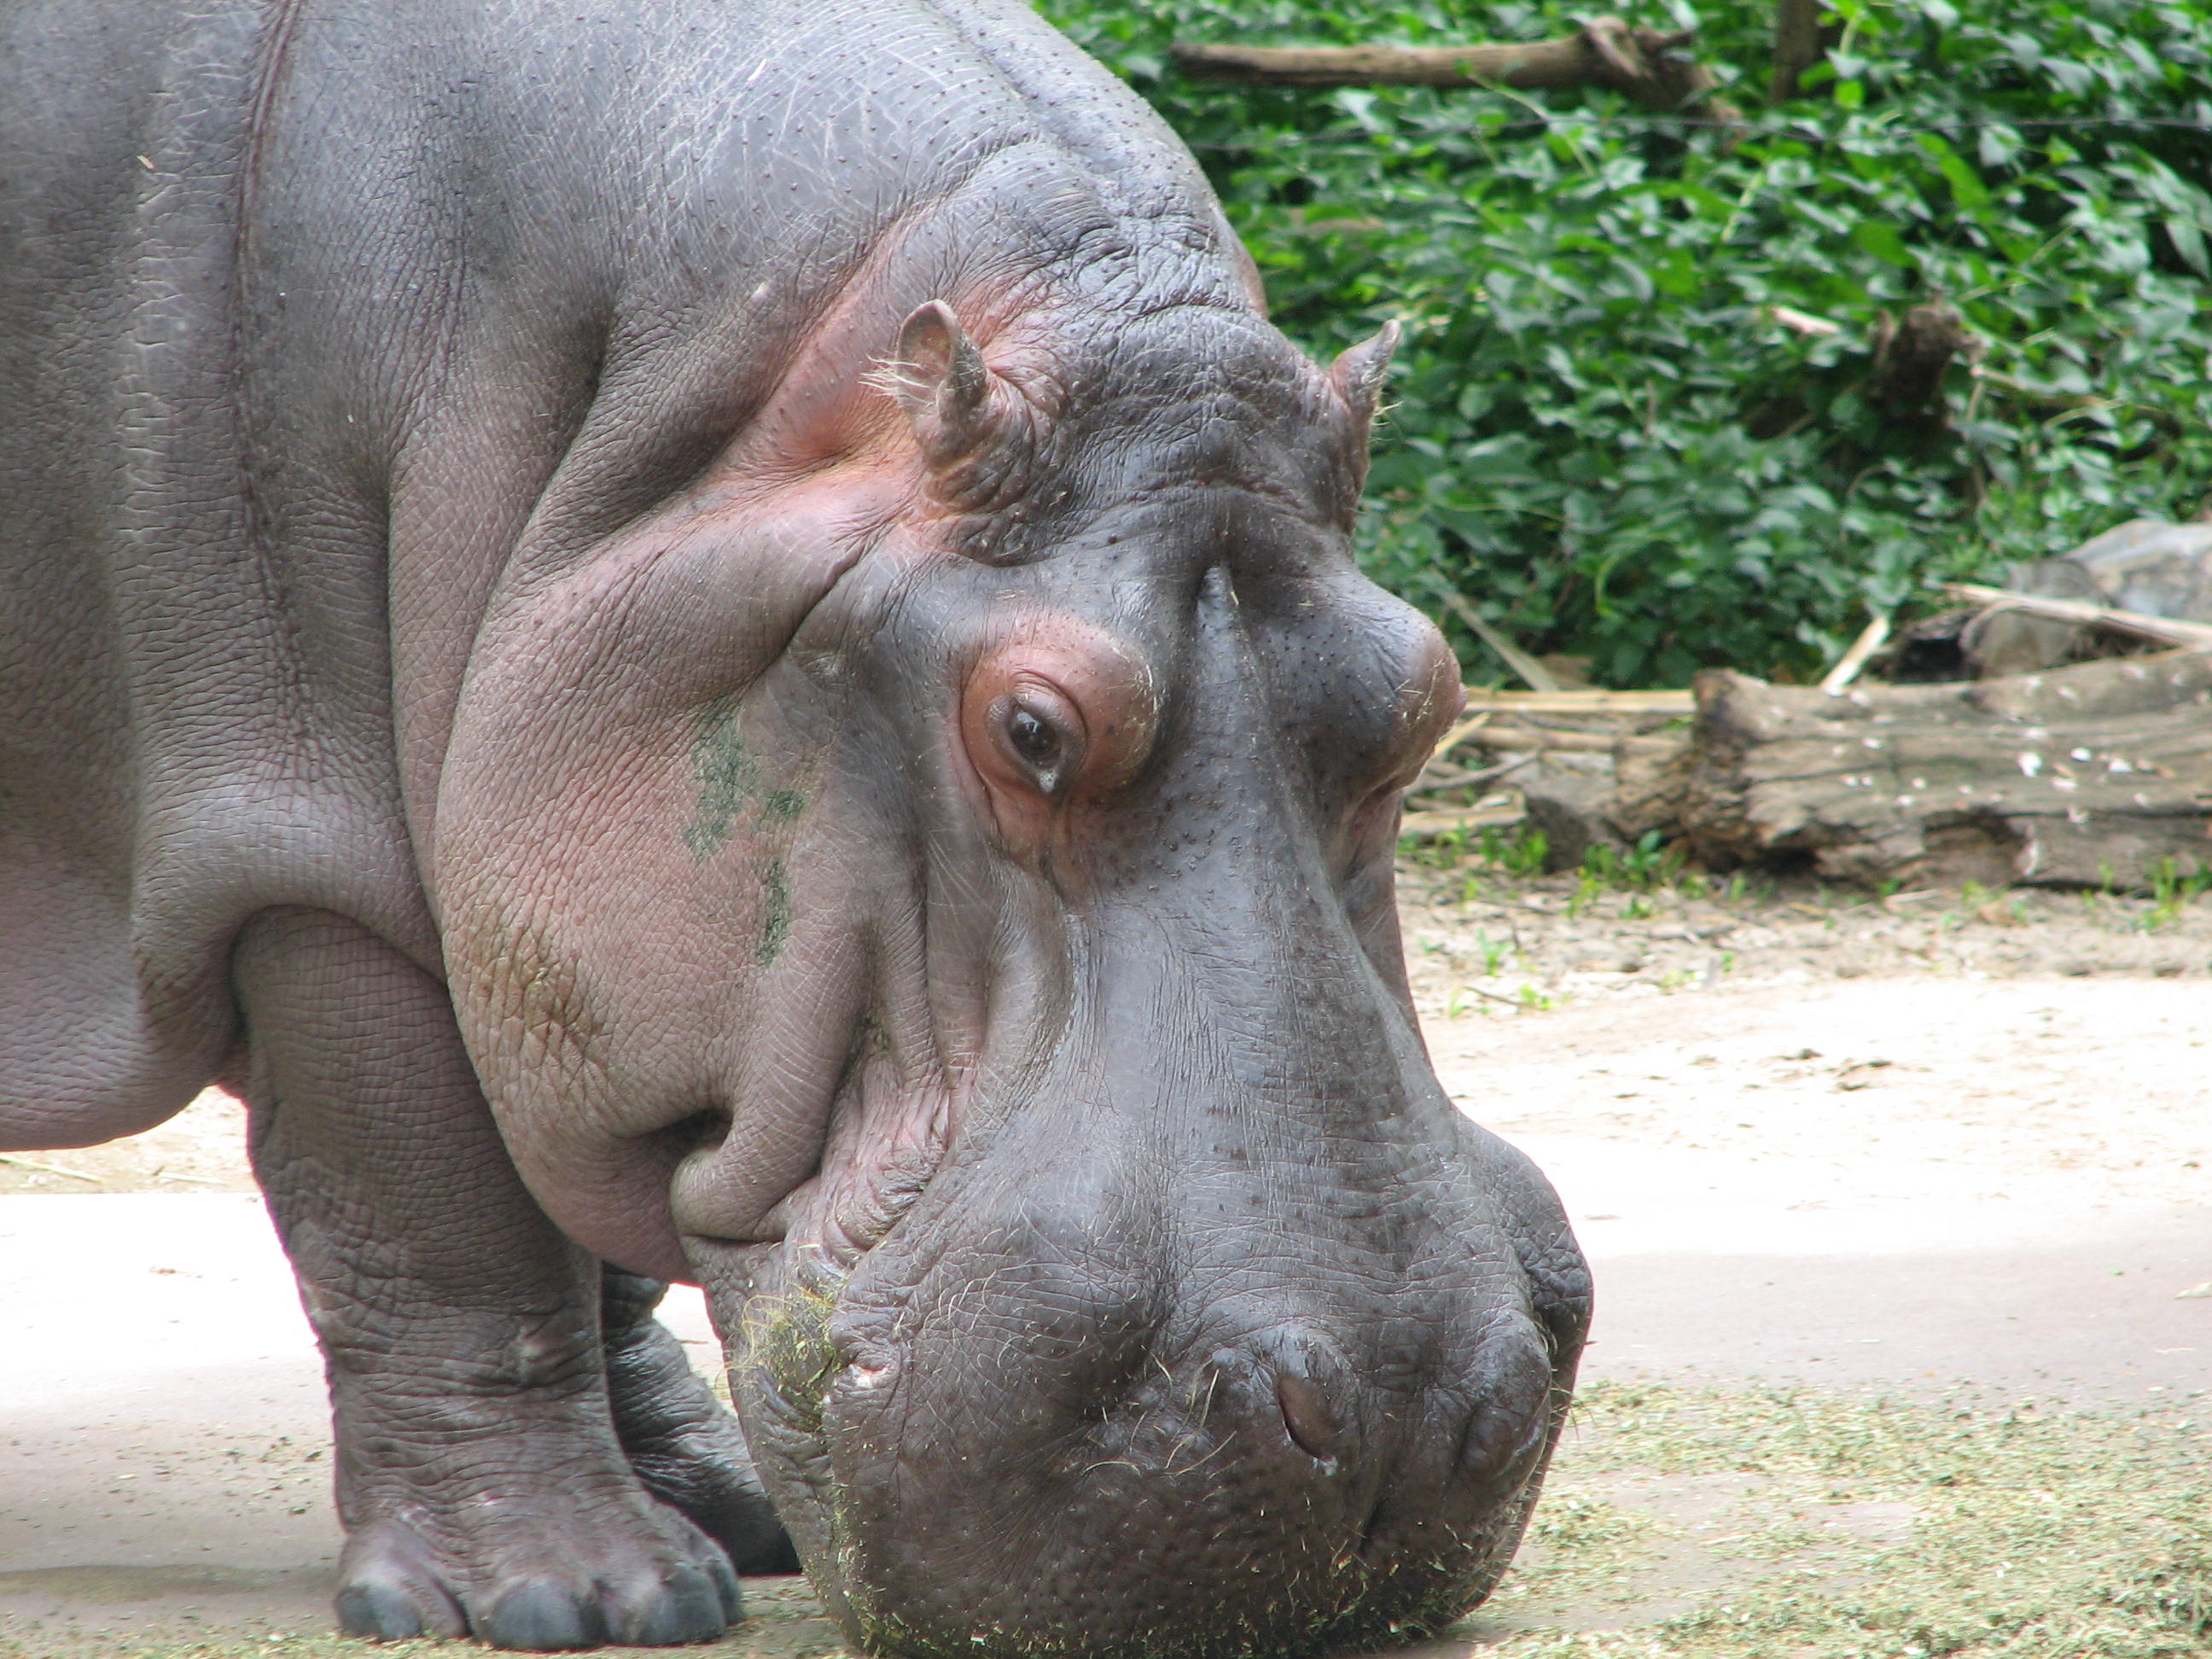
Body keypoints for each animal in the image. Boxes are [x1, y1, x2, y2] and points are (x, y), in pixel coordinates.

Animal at [0, 1, 1588, 1653]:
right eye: (1031, 727)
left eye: (1427, 690)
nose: (1405, 1420)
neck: (702, 438)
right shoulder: (318, 856)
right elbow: (440, 1213)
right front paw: (584, 1592)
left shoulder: (531, 895)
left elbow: (569, 1214)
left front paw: (713, 1510)